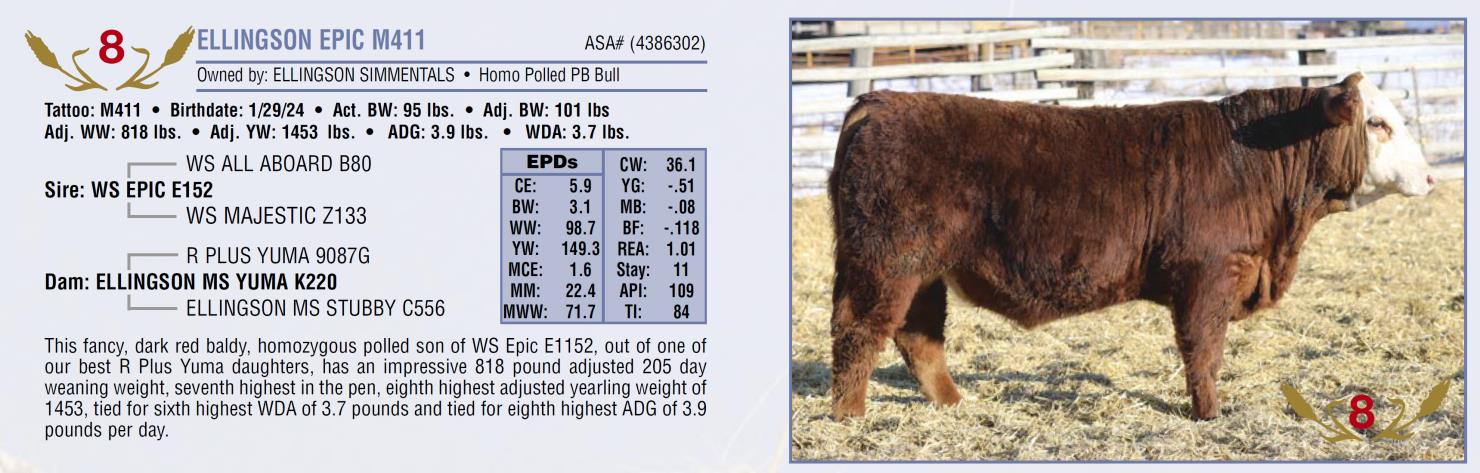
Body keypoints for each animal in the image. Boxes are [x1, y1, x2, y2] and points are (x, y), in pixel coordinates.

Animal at [826, 73, 1435, 421]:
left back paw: (953, 404)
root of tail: (880, 102)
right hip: (887, 261)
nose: (1430, 178)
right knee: (859, 332)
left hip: (922, 270)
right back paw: (850, 415)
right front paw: (1210, 414)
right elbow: (1204, 352)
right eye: (1378, 124)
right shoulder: (1208, 276)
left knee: (917, 336)